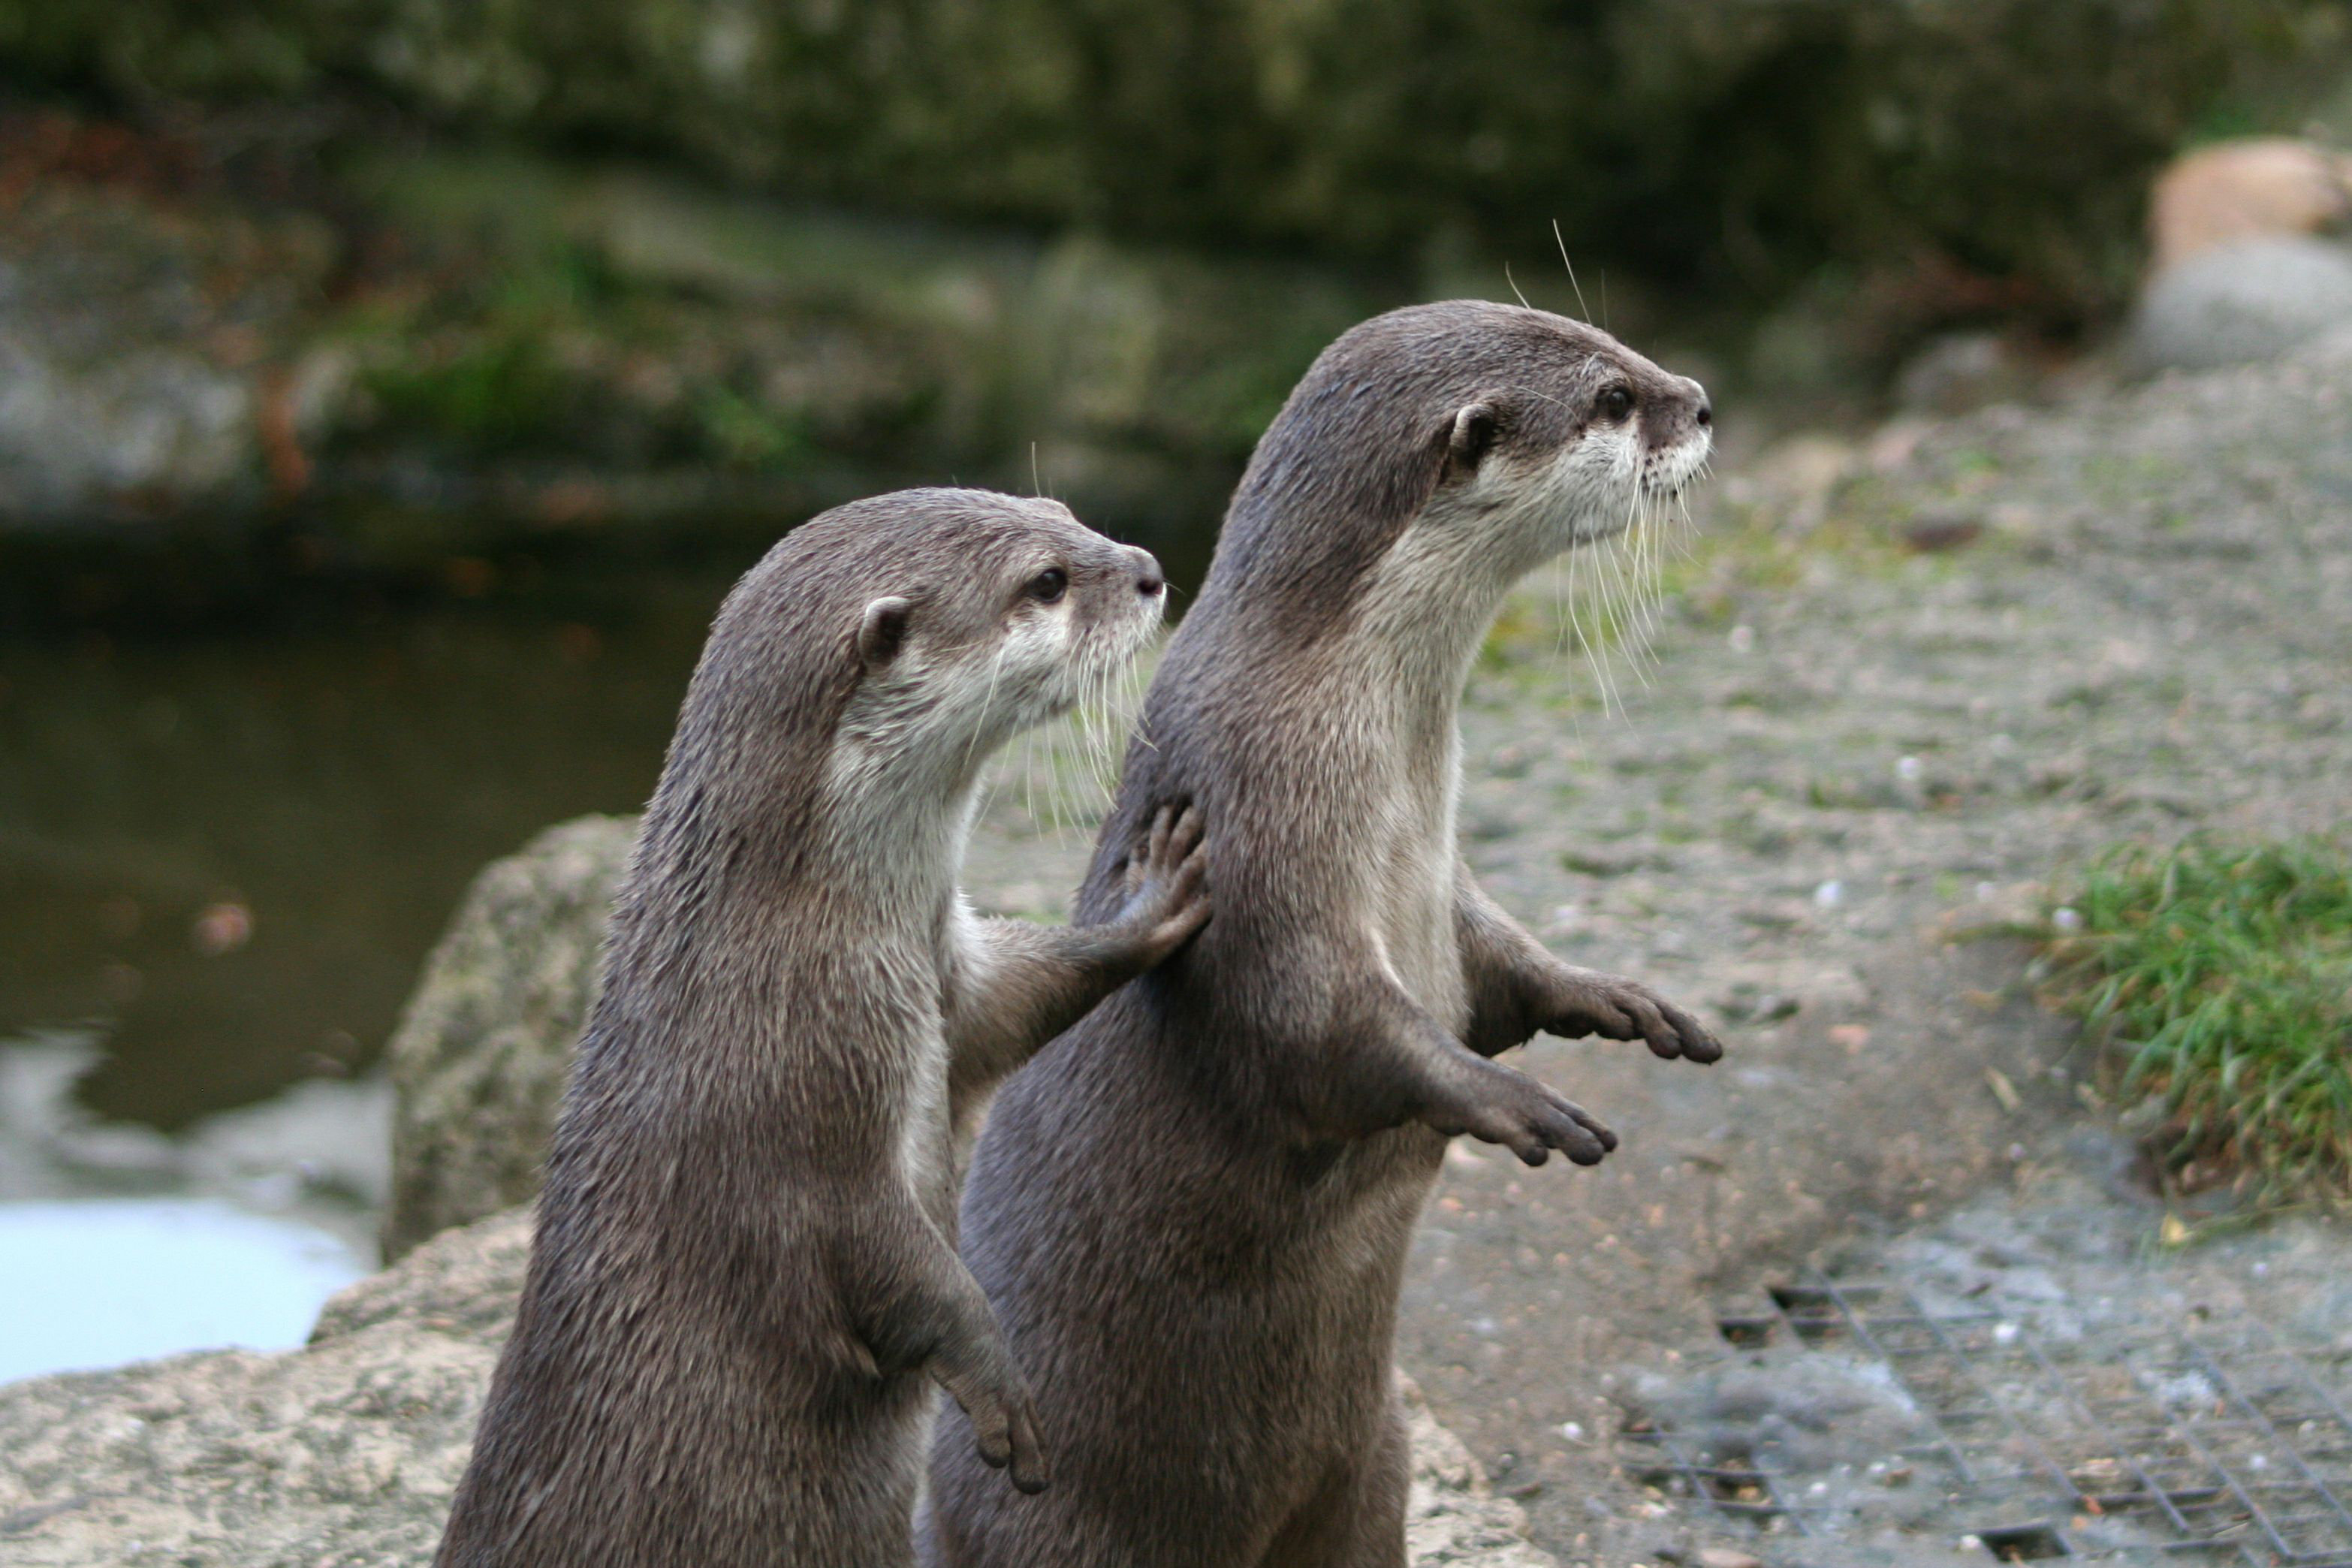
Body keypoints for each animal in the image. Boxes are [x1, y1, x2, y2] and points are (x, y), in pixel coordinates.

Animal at [435, 488, 1209, 1568]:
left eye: (1059, 508)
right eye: (1047, 581)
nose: (1148, 570)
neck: (785, 944)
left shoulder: (946, 976)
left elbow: (1022, 995)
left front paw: (1147, 900)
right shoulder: (788, 1109)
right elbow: (888, 1263)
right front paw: (1000, 1386)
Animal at [926, 303, 1721, 1567]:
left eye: (1616, 343)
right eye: (1610, 398)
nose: (1698, 402)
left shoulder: (1443, 892)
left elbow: (1501, 969)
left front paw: (1611, 996)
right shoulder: (1257, 844)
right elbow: (1319, 1028)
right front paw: (1512, 1102)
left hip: (1369, 1467)